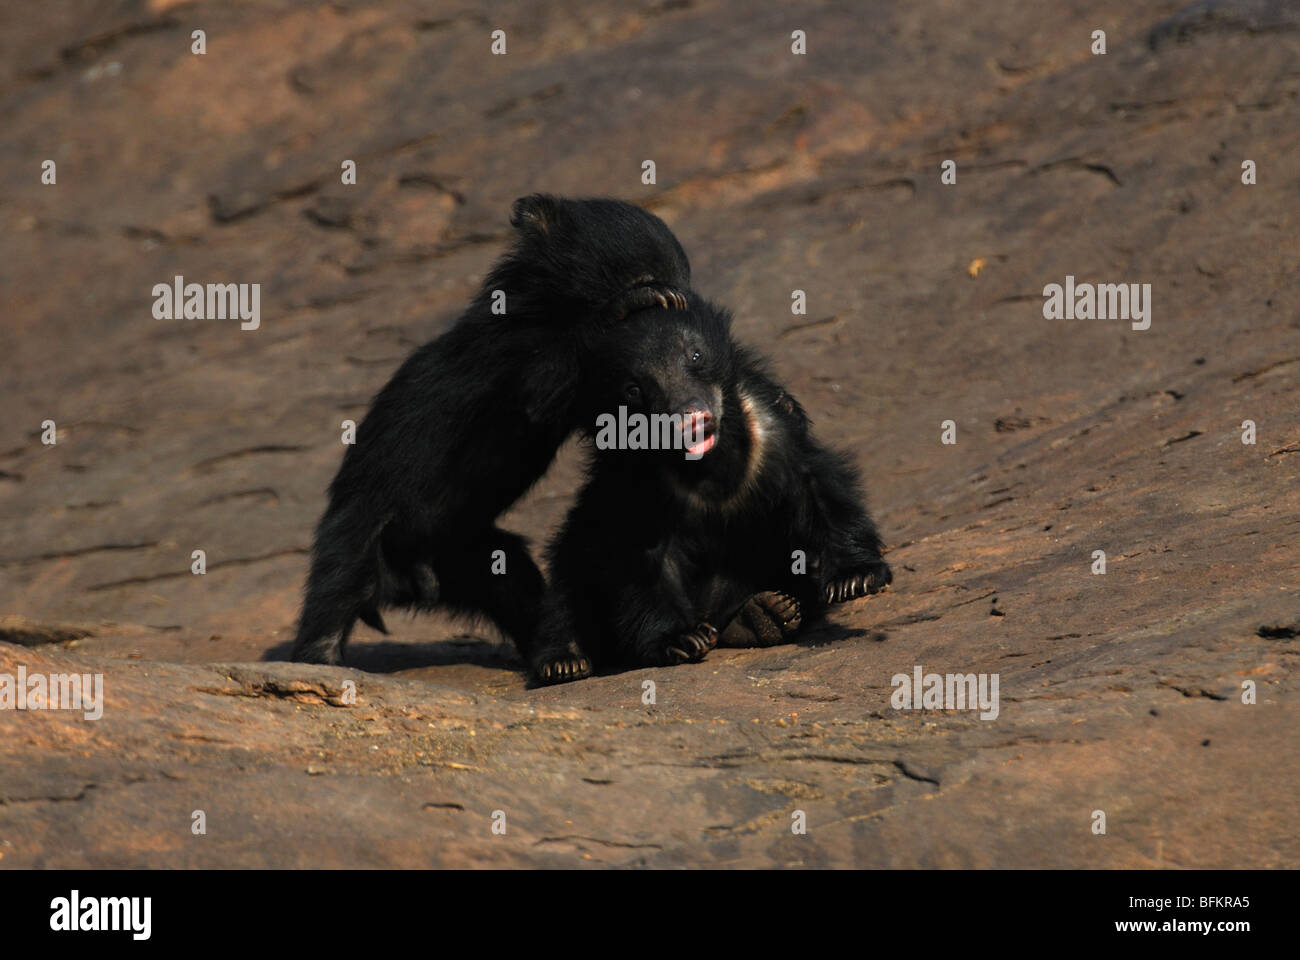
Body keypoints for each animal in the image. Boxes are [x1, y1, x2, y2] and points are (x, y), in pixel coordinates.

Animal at [290, 194, 692, 675]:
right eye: (647, 276)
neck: (550, 307)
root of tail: (407, 580)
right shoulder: (506, 354)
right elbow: (544, 383)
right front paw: (633, 303)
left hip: (468, 552)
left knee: (514, 584)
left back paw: (565, 658)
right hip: (367, 517)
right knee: (337, 580)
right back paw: (320, 659)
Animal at [531, 293, 891, 682]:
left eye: (695, 356)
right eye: (633, 389)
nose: (689, 417)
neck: (707, 464)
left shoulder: (772, 433)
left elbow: (818, 489)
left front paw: (854, 579)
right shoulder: (637, 484)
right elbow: (640, 559)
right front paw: (682, 640)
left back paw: (765, 614)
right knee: (565, 587)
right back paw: (565, 661)